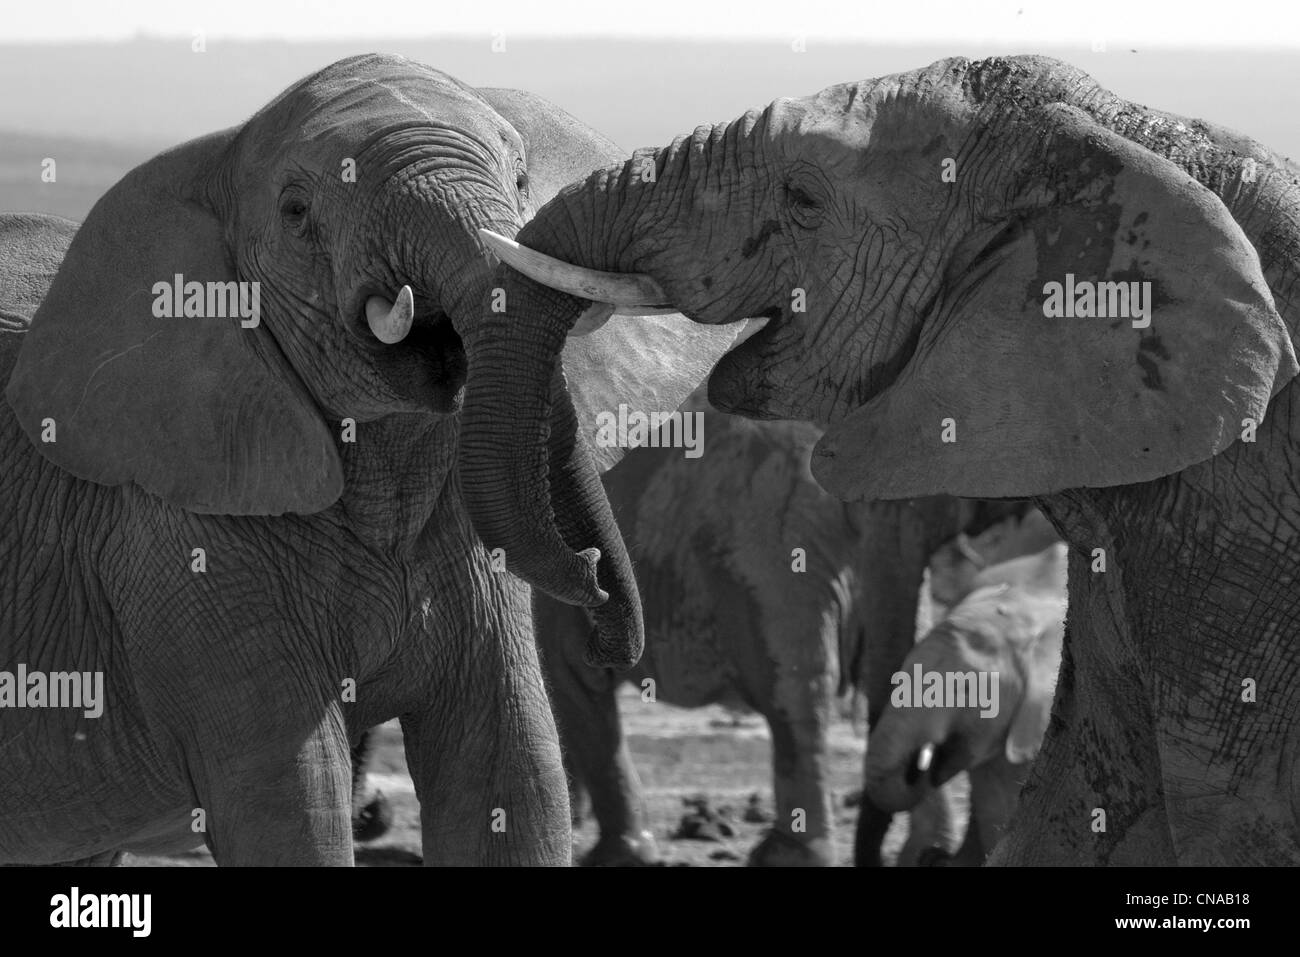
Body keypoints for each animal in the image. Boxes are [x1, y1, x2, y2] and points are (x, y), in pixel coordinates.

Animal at [0, 54, 740, 866]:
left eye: (520, 178)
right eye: (296, 212)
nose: (601, 590)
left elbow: (510, 777)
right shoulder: (181, 548)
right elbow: (291, 805)